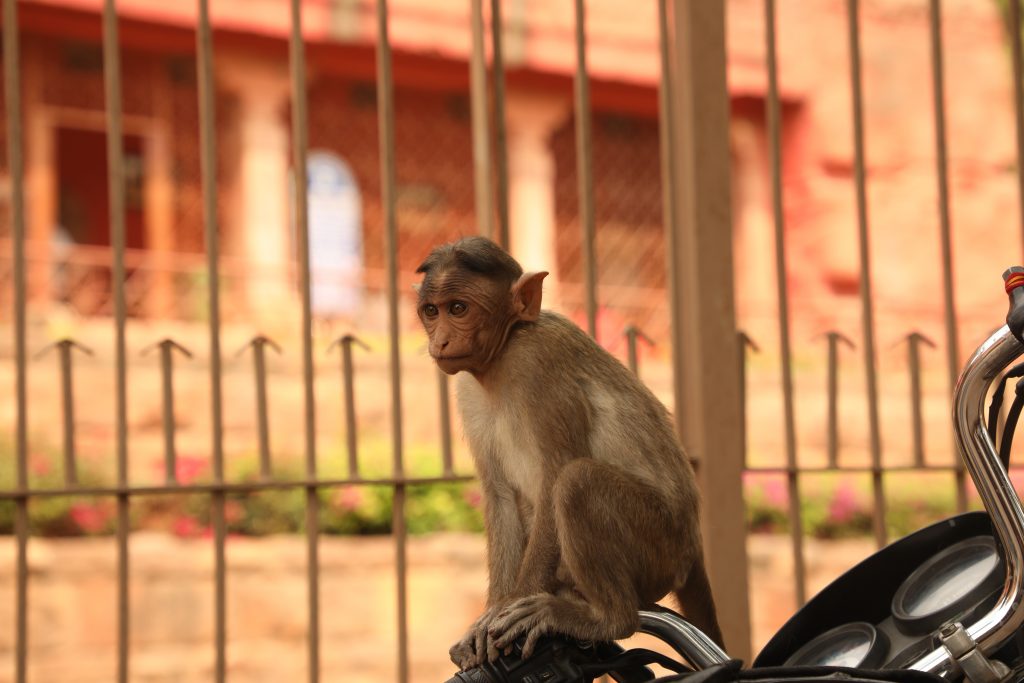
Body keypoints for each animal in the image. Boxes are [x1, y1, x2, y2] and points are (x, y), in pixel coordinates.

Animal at [415, 236, 724, 671]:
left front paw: (509, 607)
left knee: (578, 482)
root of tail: (692, 548)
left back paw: (606, 618)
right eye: (431, 311)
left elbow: (554, 477)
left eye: (458, 308)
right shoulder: (467, 392)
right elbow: (500, 495)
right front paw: (489, 615)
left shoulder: (535, 364)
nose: (439, 340)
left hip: (661, 549)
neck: (503, 354)